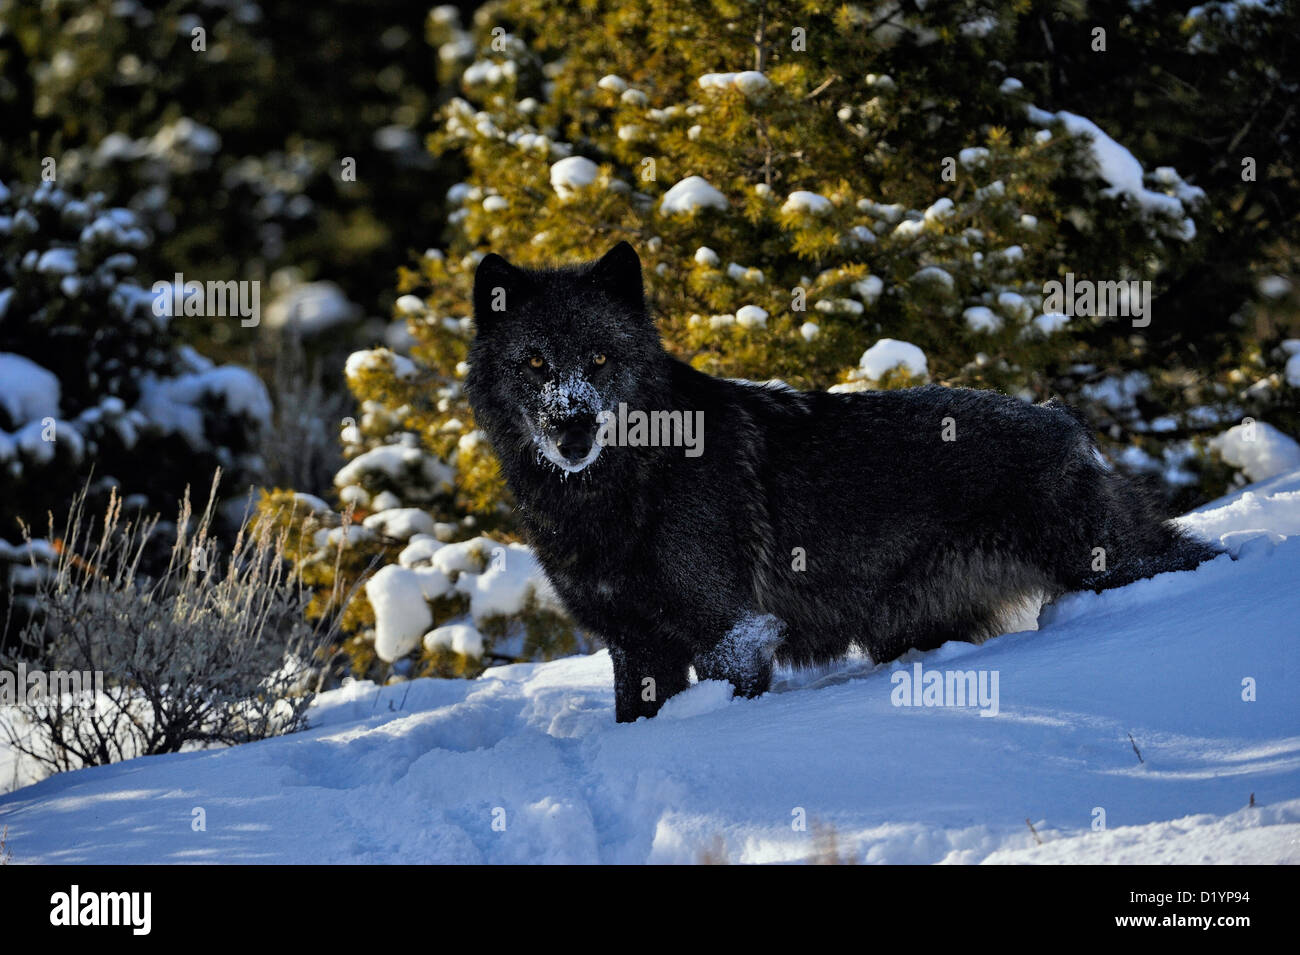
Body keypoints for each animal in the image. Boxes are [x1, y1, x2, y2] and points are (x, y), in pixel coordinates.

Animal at [466, 242, 1218, 722]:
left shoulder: (736, 635)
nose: (573, 432)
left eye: (598, 357)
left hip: (1106, 564)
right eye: (535, 362)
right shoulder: (637, 647)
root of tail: (1064, 416)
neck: (618, 490)